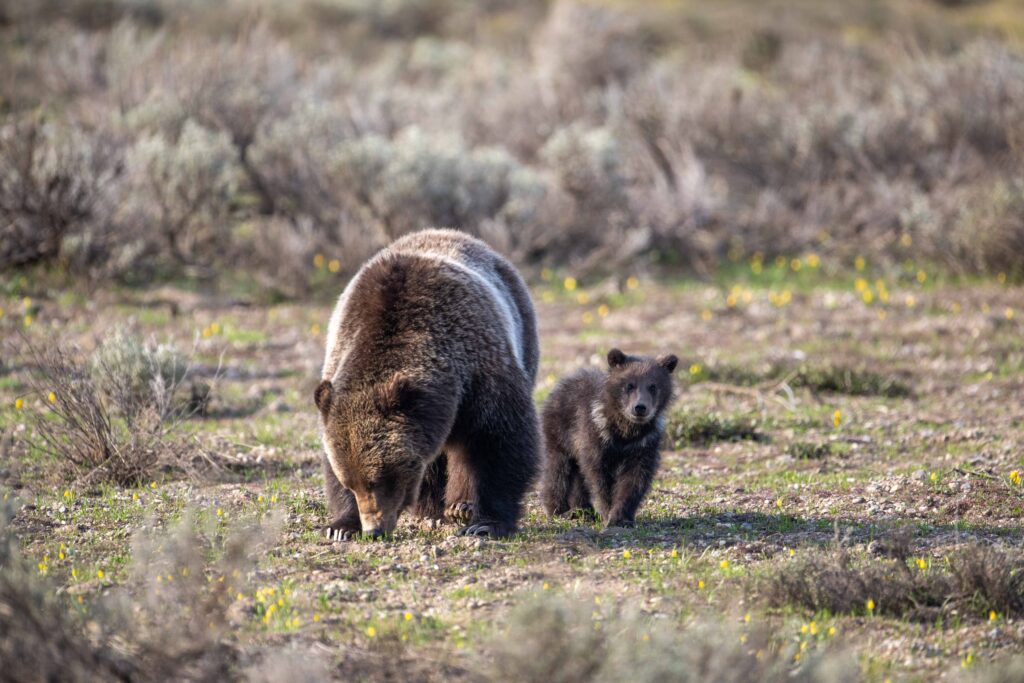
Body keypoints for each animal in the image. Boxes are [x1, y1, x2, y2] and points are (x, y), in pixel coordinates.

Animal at [315, 228, 540, 540]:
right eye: (352, 482)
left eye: (384, 477)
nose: (374, 529)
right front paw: (342, 526)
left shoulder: (479, 370)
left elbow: (499, 439)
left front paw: (486, 523)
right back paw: (430, 507)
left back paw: (461, 505)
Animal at [540, 348, 677, 528]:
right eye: (629, 385)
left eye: (653, 386)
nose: (640, 407)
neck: (625, 432)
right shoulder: (596, 436)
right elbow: (599, 478)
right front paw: (608, 513)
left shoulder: (644, 444)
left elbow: (635, 479)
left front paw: (622, 516)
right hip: (560, 433)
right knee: (558, 469)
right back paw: (559, 510)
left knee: (579, 477)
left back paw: (583, 511)